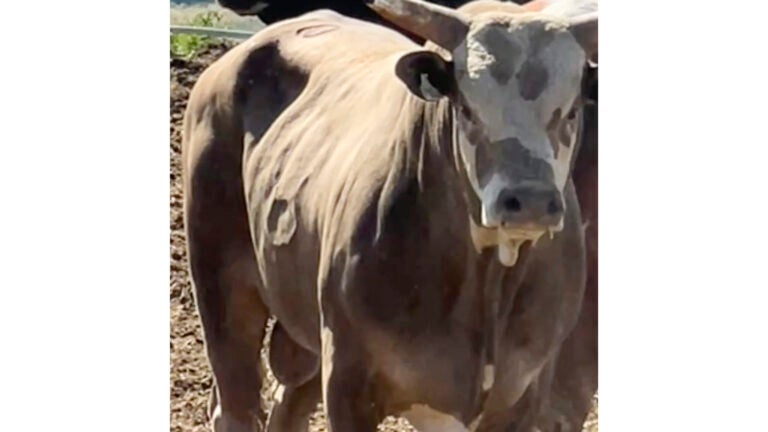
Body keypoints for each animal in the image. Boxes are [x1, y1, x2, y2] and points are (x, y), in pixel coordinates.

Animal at [181, 1, 598, 431]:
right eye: (467, 108)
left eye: (571, 111)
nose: (530, 201)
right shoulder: (348, 380)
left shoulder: (525, 393)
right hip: (221, 288)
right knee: (236, 402)